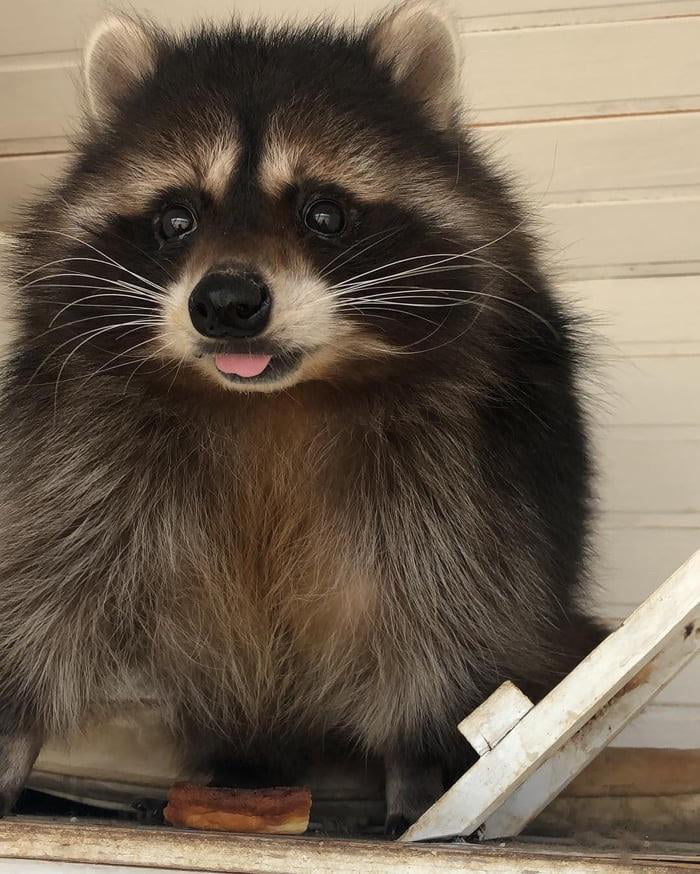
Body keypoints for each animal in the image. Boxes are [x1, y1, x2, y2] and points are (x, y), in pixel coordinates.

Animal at [0, 1, 605, 833]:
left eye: (325, 213)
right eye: (176, 218)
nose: (226, 303)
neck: (273, 402)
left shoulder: (456, 464)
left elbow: (443, 611)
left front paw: (414, 767)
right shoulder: (81, 437)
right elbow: (44, 581)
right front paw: (13, 734)